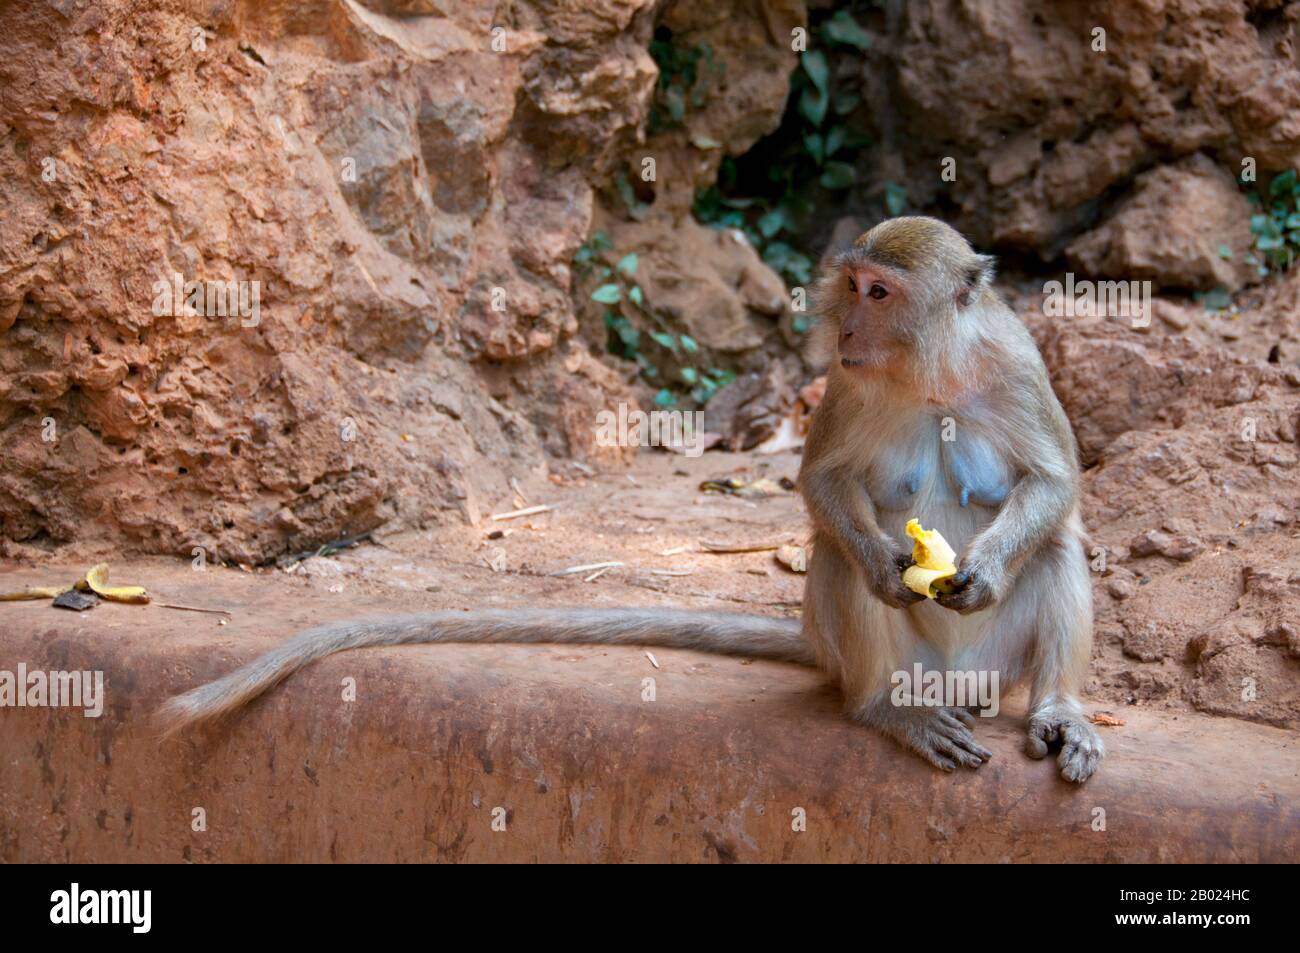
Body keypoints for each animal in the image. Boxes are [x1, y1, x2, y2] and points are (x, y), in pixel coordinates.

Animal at [158, 216, 1102, 783]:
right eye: (856, 286)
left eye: (882, 292)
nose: (845, 328)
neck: (928, 371)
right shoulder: (847, 381)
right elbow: (823, 484)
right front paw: (880, 562)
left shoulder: (1012, 360)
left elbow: (1056, 483)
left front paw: (983, 570)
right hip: (898, 662)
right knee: (838, 560)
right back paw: (886, 709)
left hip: (989, 665)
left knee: (1057, 544)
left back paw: (1058, 712)